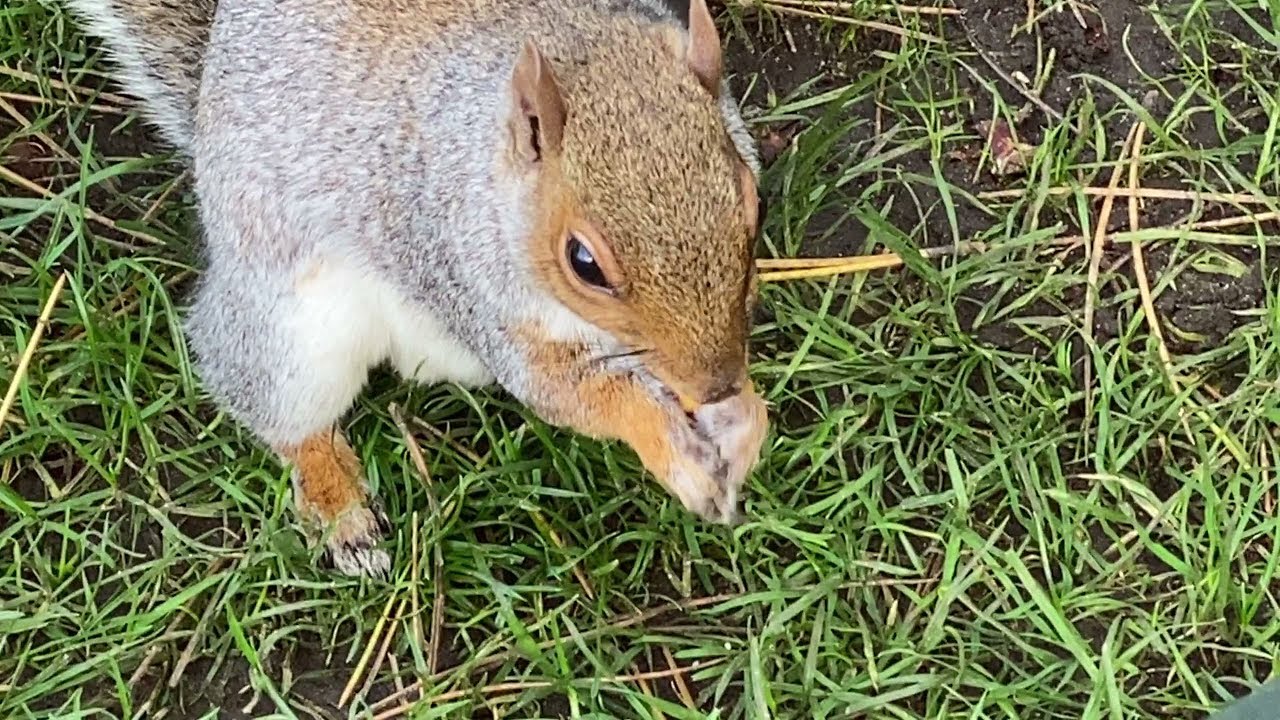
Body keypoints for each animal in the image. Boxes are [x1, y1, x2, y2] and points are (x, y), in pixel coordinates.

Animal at [63, 0, 770, 577]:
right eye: (584, 263)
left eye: (752, 201)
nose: (716, 386)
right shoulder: (467, 279)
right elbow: (571, 395)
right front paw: (672, 449)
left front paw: (745, 421)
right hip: (290, 333)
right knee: (267, 401)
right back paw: (339, 505)